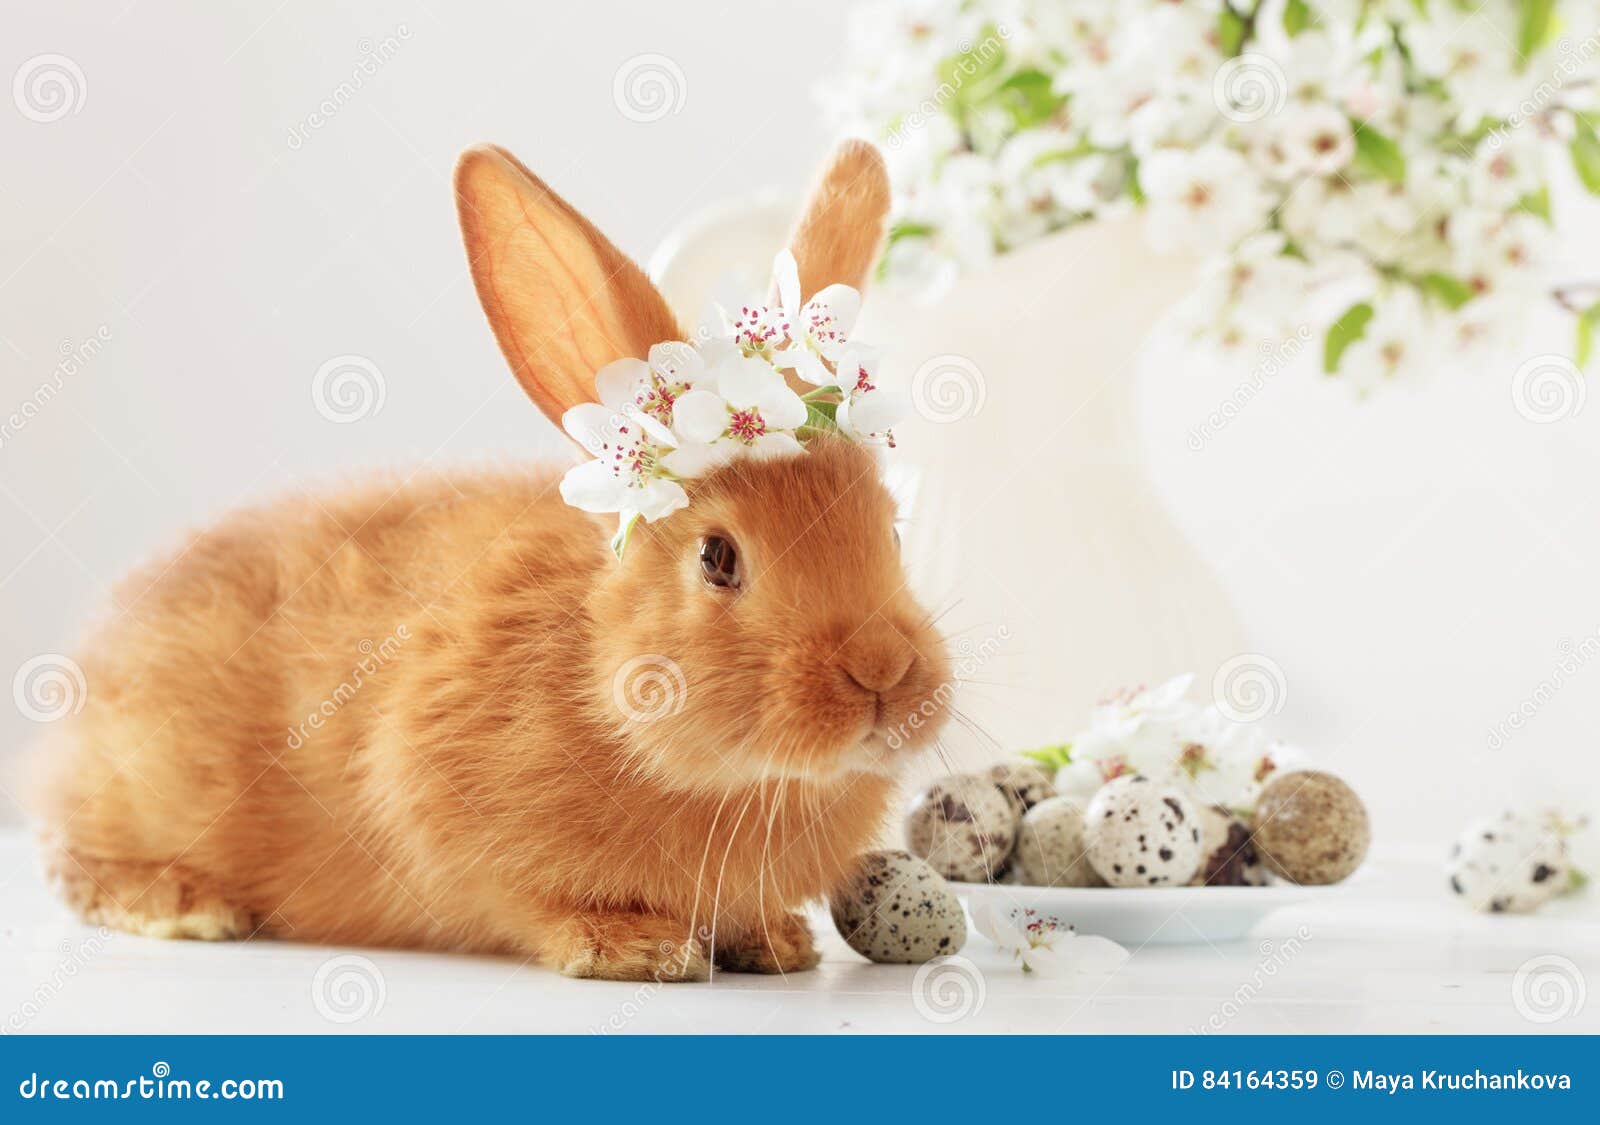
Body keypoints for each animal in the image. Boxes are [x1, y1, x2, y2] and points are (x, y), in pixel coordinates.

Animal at [30, 139, 953, 982]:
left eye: (891, 531)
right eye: (718, 558)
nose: (884, 669)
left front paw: (776, 941)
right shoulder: (442, 814)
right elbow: (527, 903)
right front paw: (635, 947)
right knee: (72, 861)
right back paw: (184, 904)